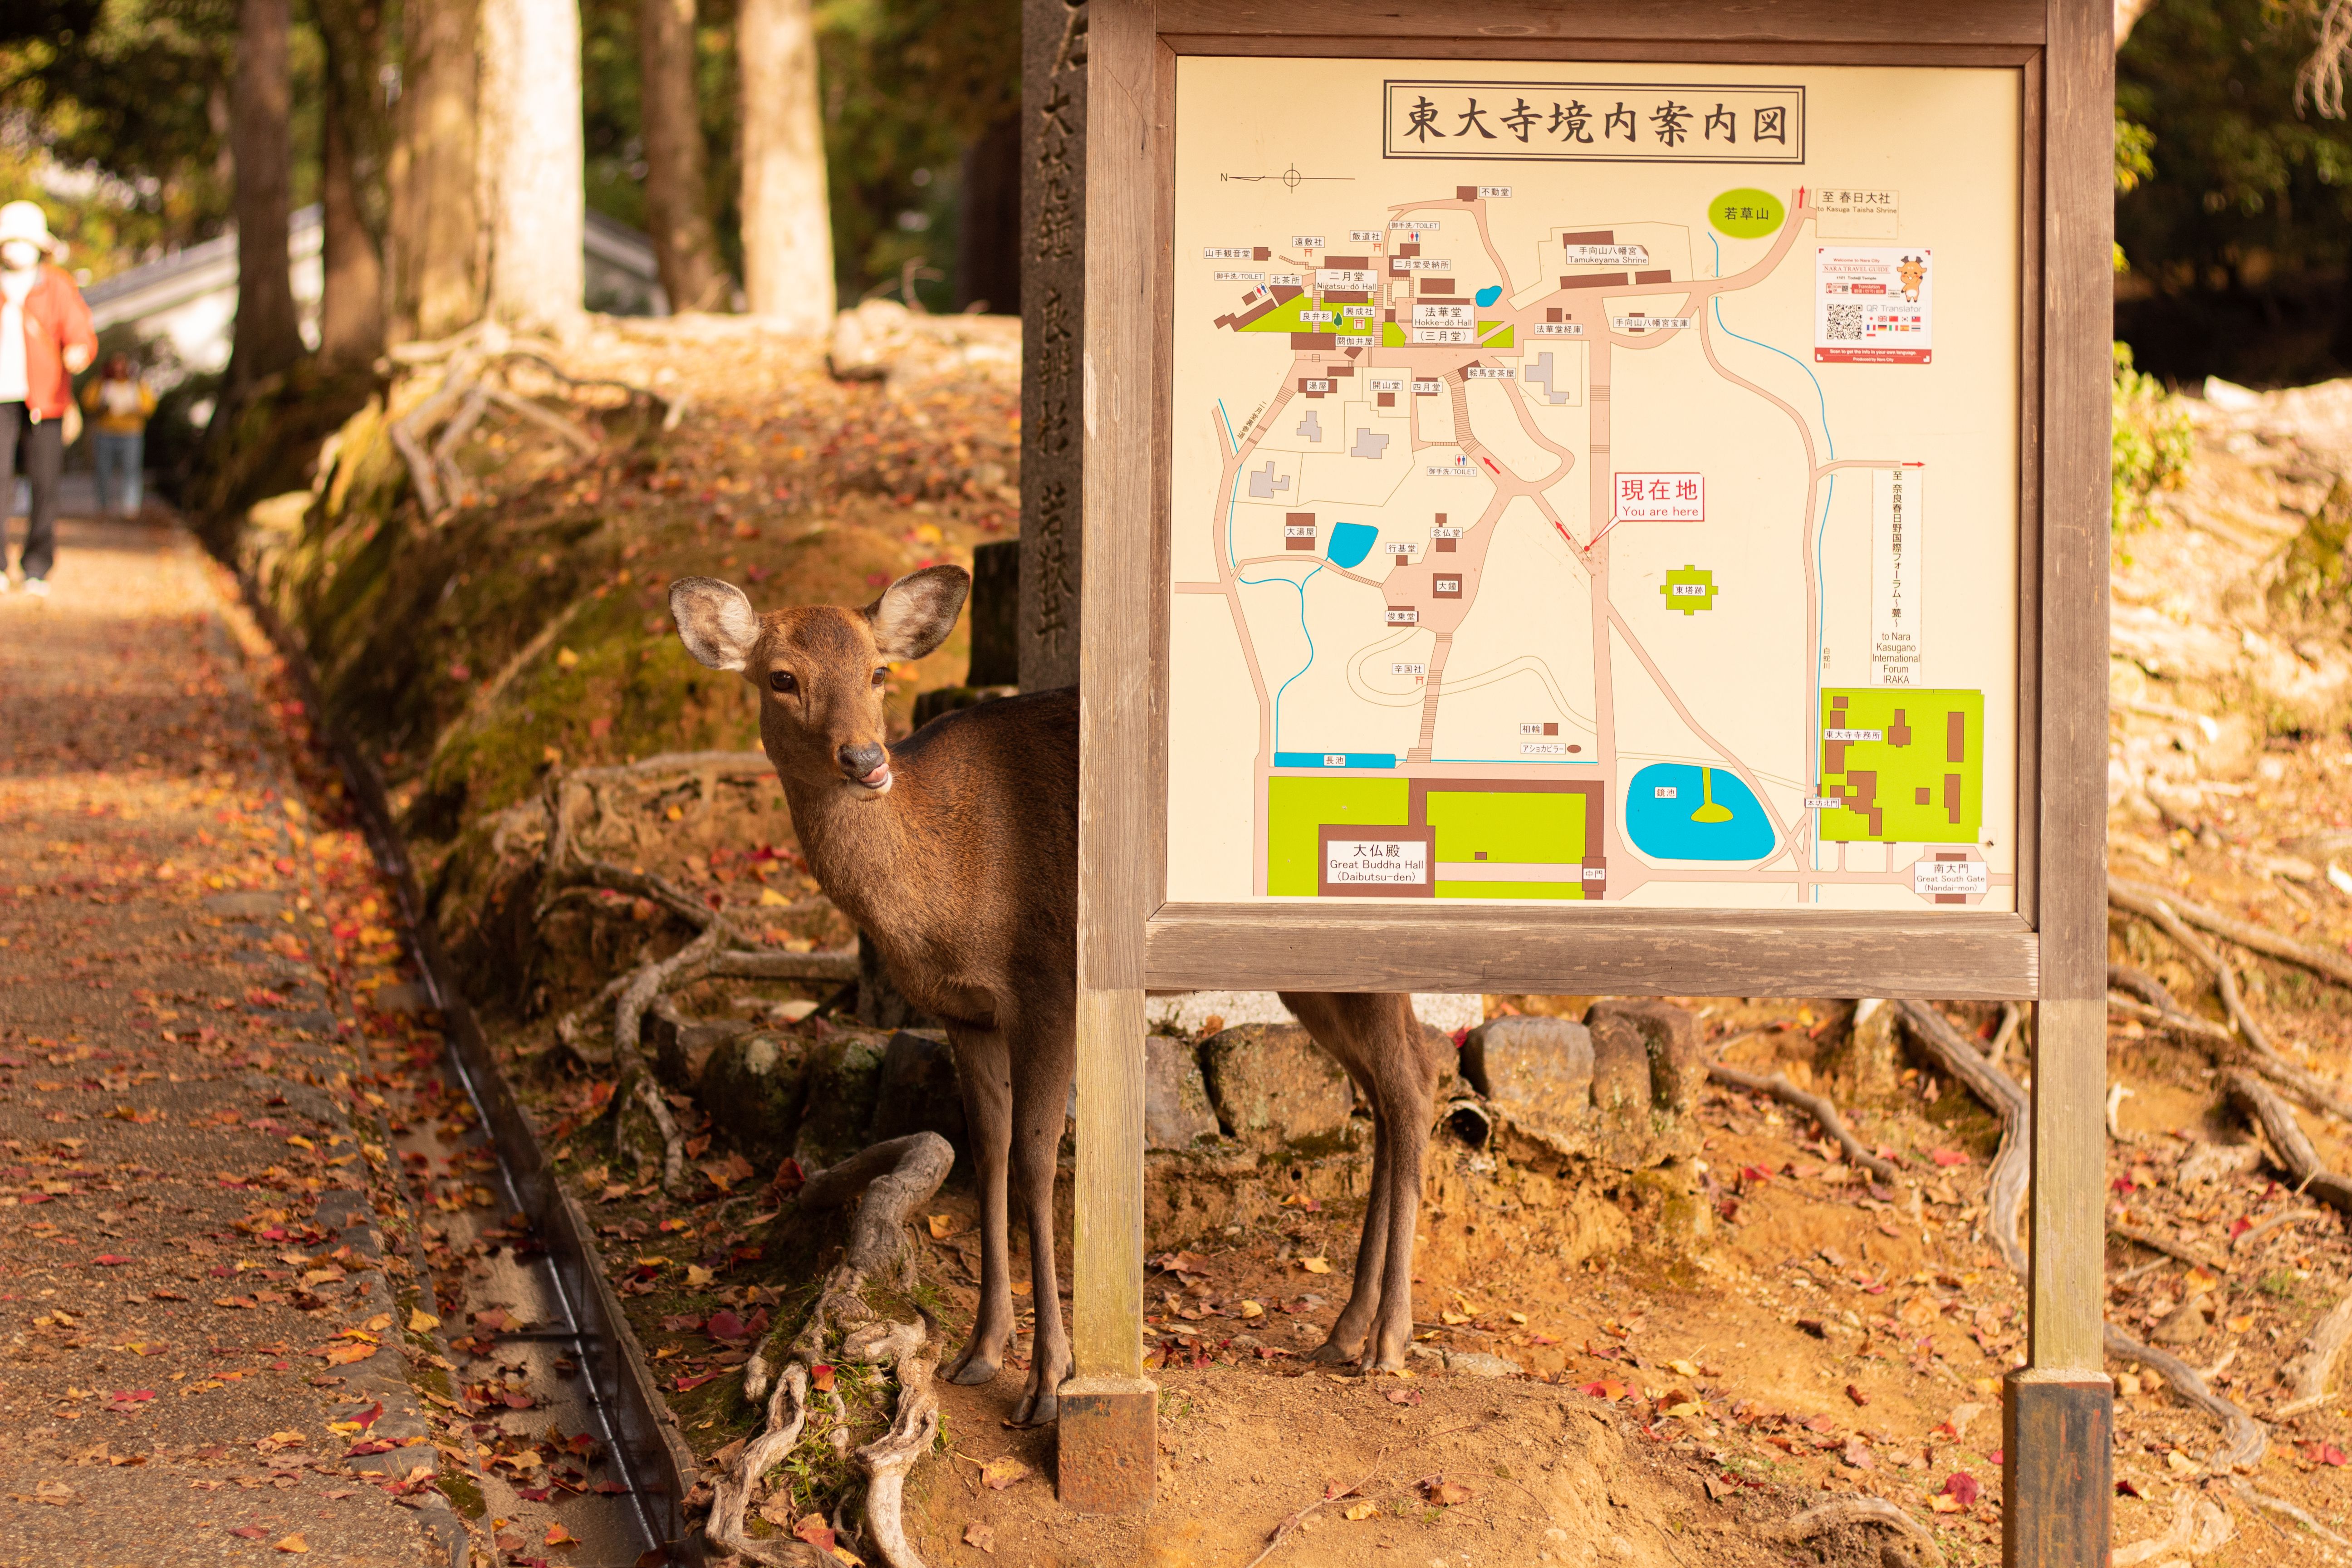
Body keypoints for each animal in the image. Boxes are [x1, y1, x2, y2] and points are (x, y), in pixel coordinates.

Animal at [669, 564, 1451, 1426]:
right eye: (781, 678)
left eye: (878, 671)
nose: (865, 759)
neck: (941, 904)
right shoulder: (964, 1012)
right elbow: (987, 1153)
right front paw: (979, 1351)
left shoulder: (1049, 987)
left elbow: (1039, 1162)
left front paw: (1048, 1381)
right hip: (1309, 971)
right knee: (1389, 1088)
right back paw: (1344, 1331)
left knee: (1413, 1078)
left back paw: (1388, 1339)